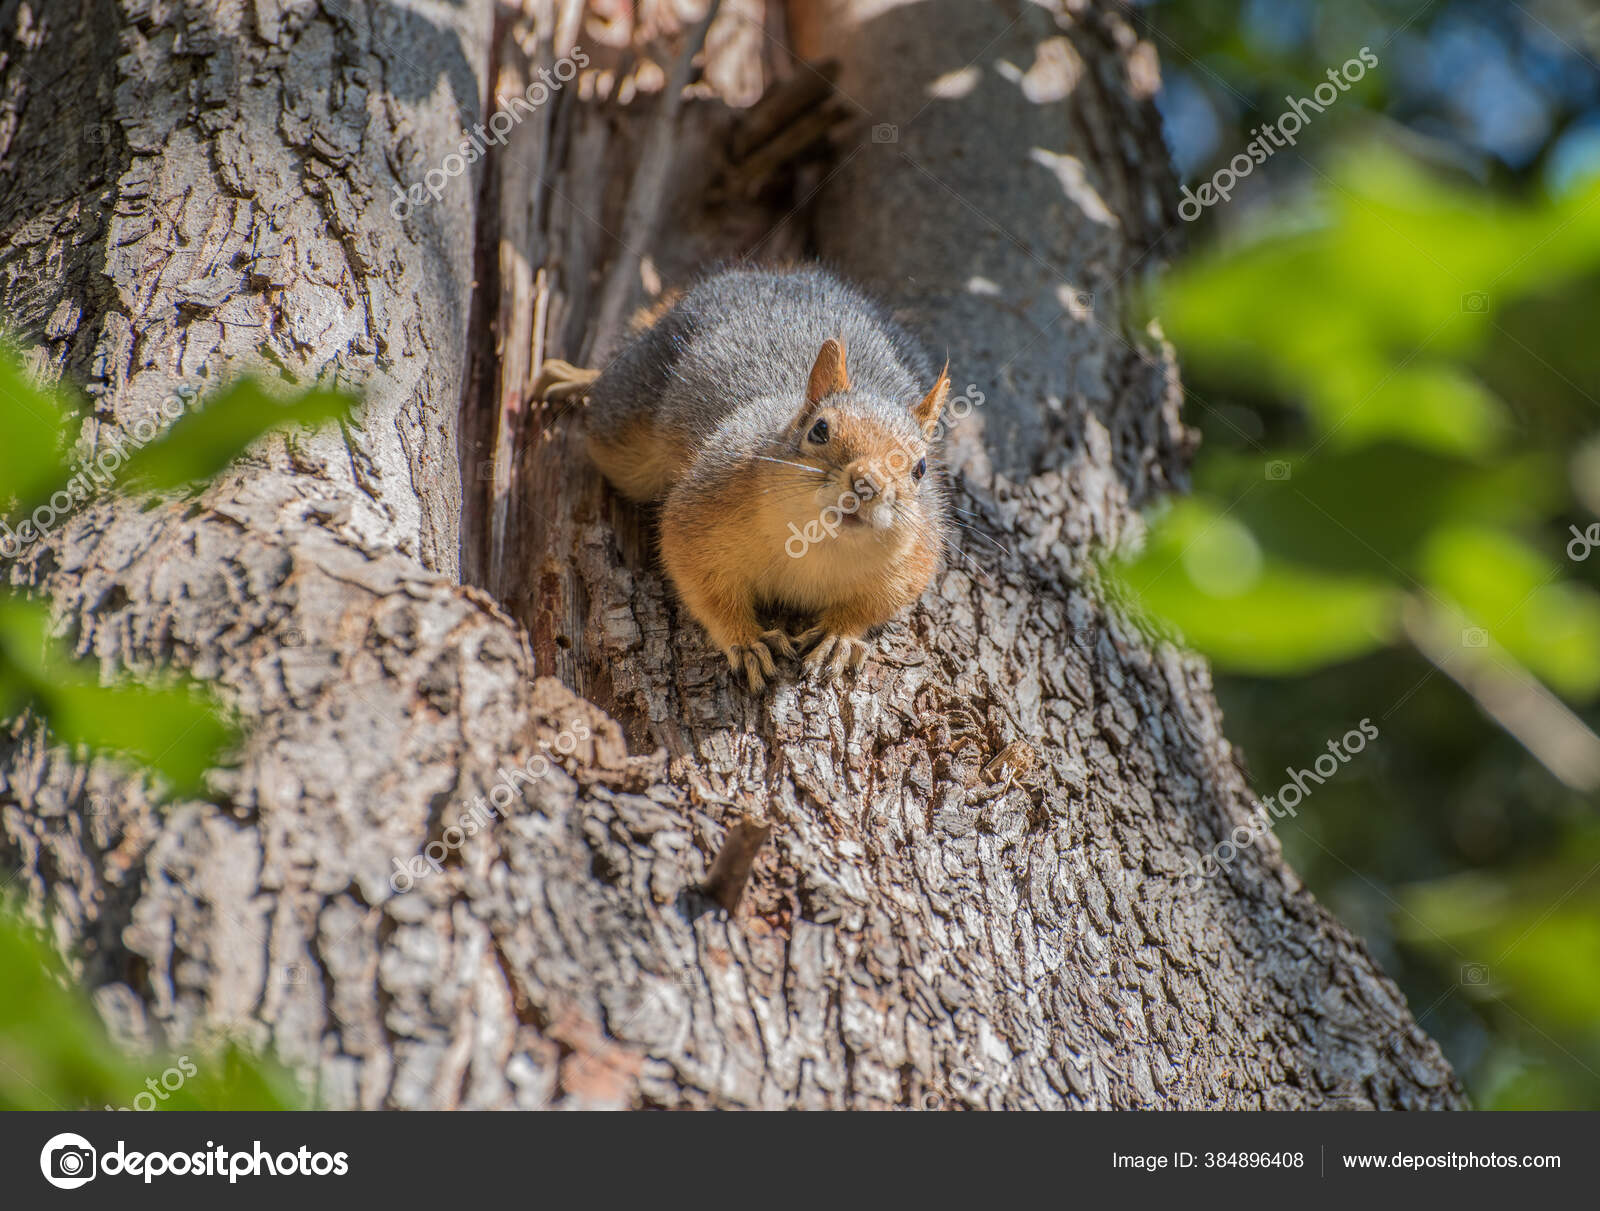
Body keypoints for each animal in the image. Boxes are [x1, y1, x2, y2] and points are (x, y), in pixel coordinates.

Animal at [543, 265, 951, 692]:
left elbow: (874, 605)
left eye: (921, 468)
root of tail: (772, 277)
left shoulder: (913, 558)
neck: (817, 543)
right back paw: (577, 378)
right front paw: (747, 641)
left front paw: (838, 636)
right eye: (819, 430)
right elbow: (701, 582)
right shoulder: (701, 509)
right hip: (624, 432)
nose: (867, 484)